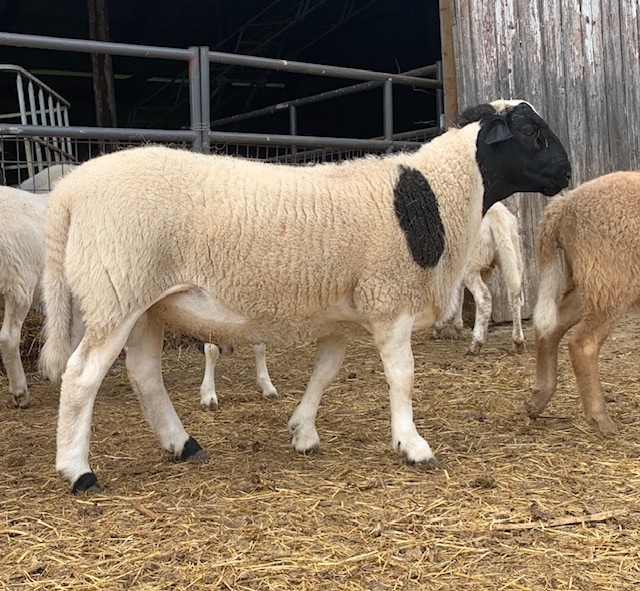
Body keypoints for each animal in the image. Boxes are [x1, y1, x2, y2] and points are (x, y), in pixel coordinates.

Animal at [432, 202, 525, 354]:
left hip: (472, 264)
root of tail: (496, 216)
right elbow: (459, 295)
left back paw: (476, 343)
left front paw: (438, 326)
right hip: (510, 257)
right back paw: (517, 342)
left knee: (484, 298)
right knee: (514, 296)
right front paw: (458, 327)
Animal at [527, 171, 640, 436]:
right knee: (582, 344)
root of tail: (564, 205)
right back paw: (600, 419)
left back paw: (538, 399)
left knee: (550, 328)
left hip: (592, 280)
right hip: (610, 280)